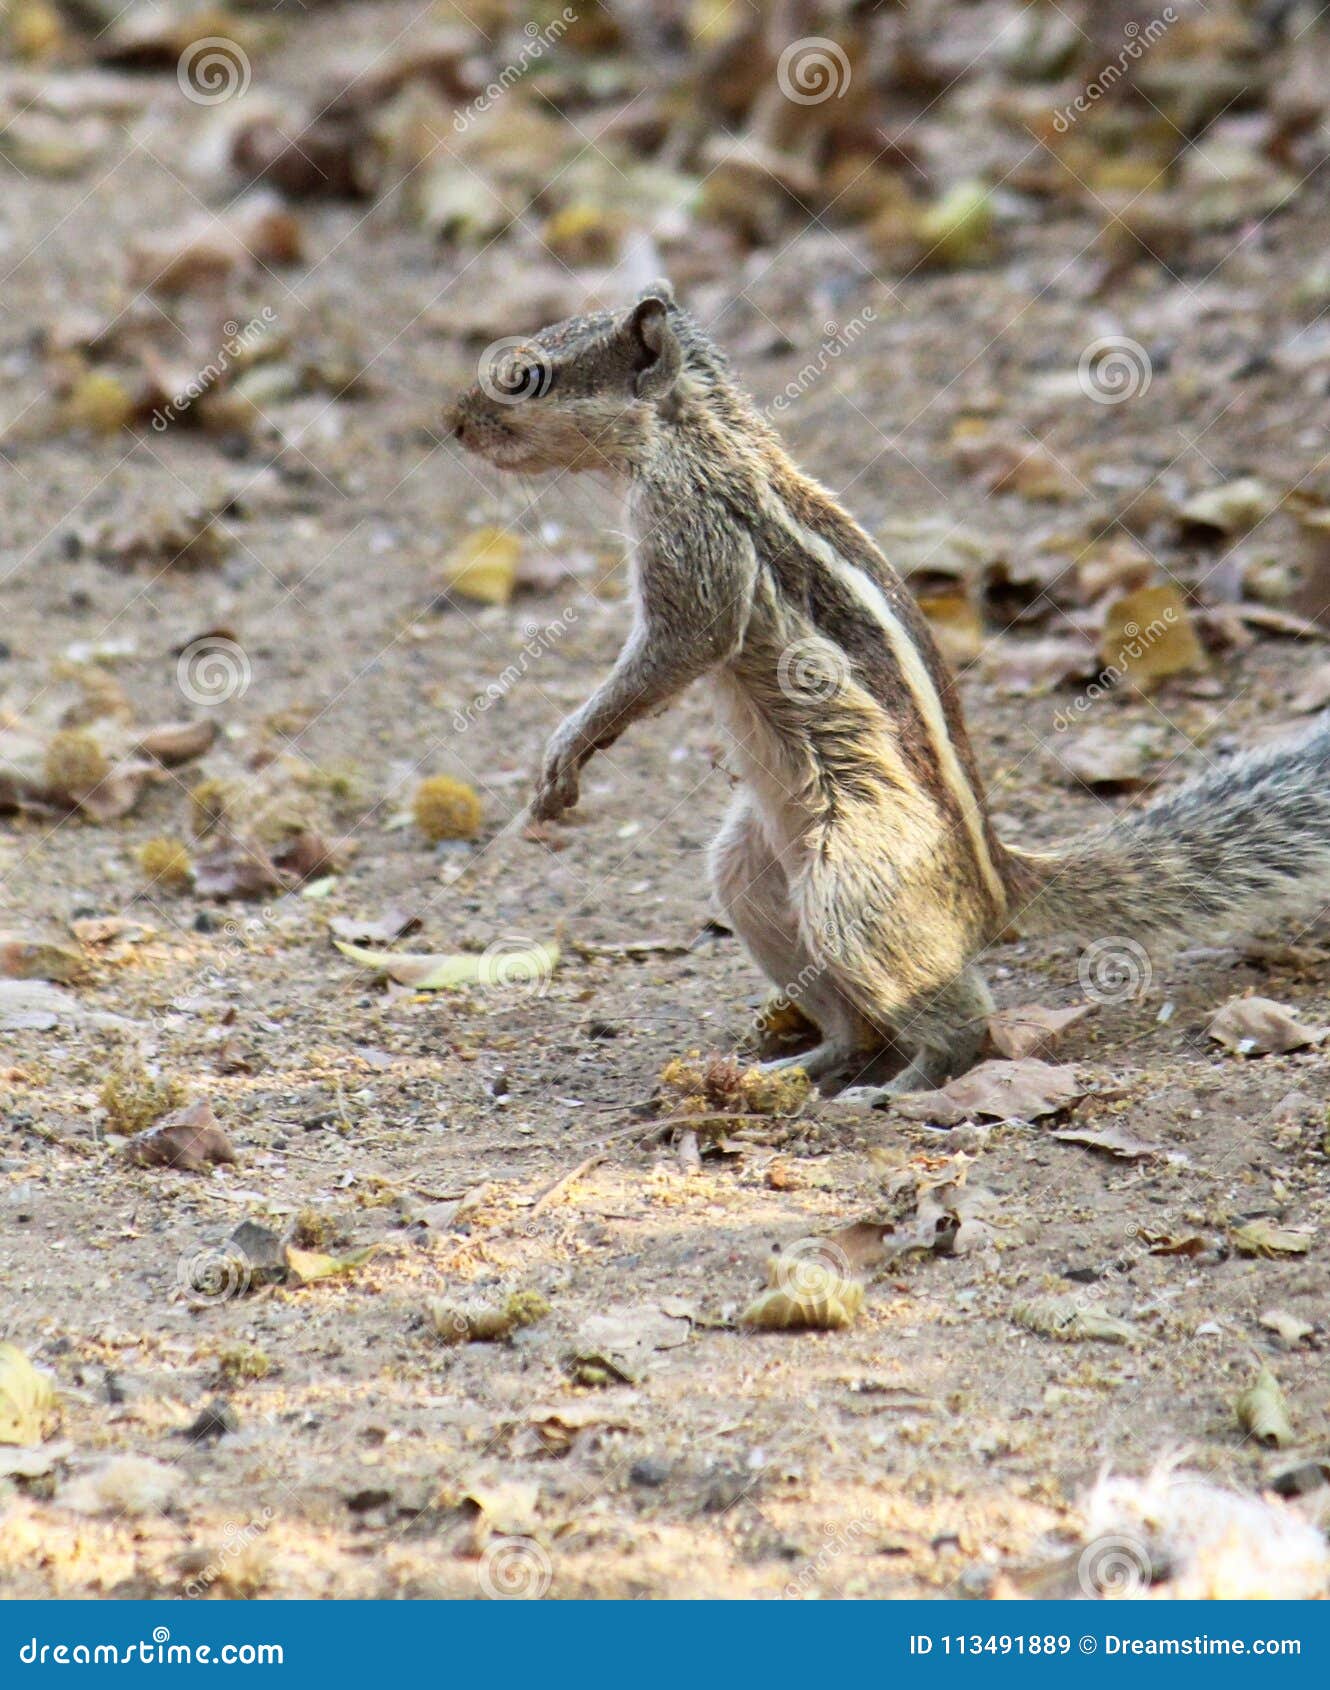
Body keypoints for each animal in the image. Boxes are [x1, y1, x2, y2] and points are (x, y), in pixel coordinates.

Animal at [449, 282, 1330, 1102]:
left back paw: (896, 1089)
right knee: (852, 1021)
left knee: (962, 1021)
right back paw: (799, 1065)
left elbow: (677, 648)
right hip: (753, 878)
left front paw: (567, 751)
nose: (452, 426)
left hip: (852, 882)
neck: (701, 431)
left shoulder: (689, 540)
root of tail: (996, 886)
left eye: (522, 375)